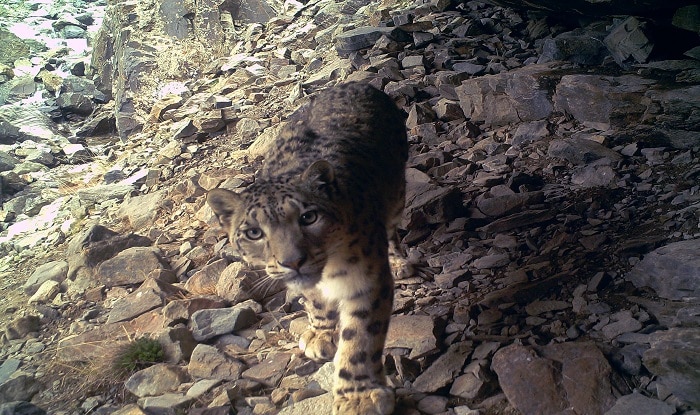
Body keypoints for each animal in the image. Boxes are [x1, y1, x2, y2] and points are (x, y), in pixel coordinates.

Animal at [207, 81, 408, 415]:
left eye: (309, 217)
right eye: (253, 232)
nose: (293, 261)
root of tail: (356, 82)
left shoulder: (365, 282)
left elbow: (359, 338)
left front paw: (358, 397)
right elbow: (315, 302)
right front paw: (320, 335)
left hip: (396, 196)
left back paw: (401, 262)